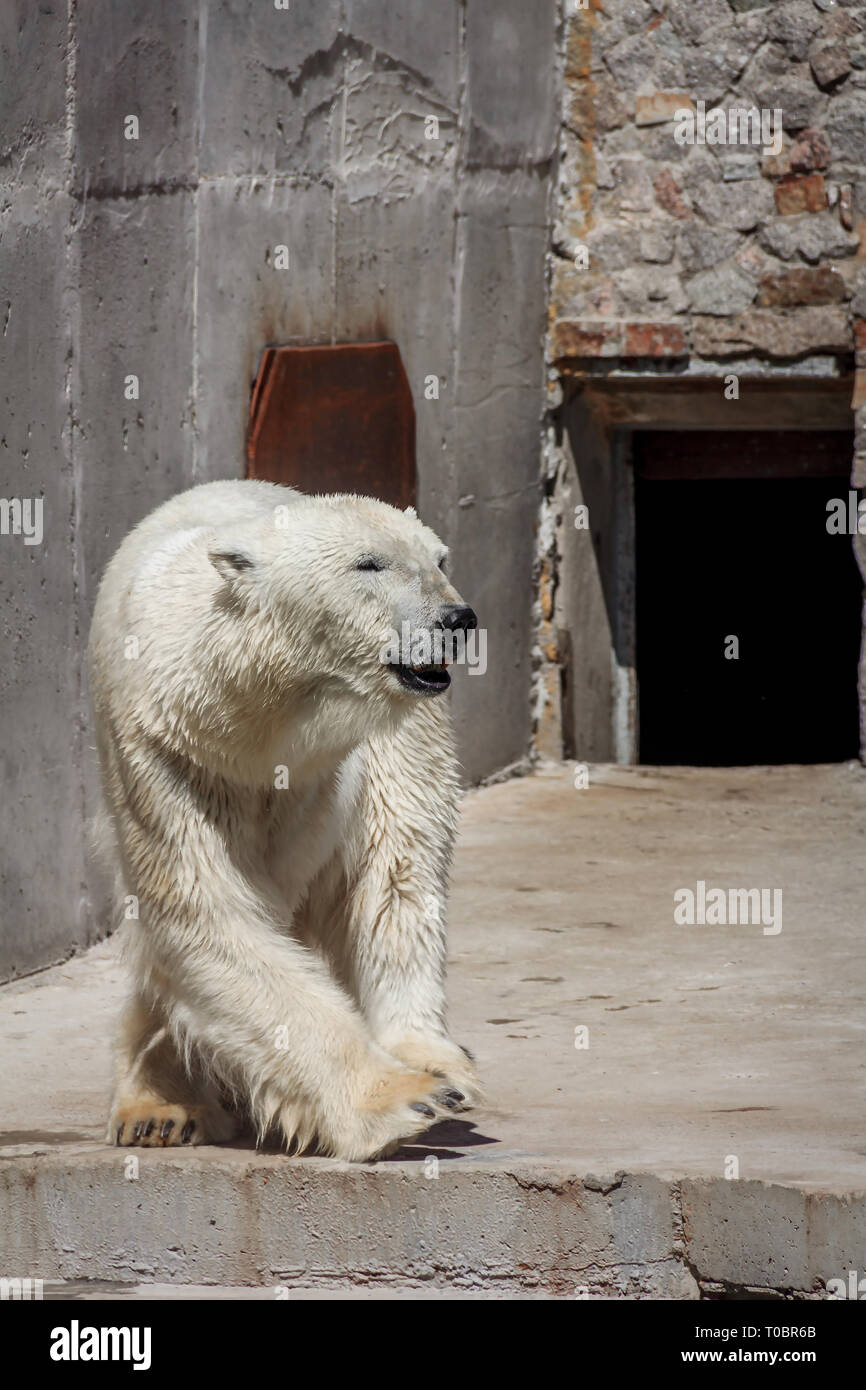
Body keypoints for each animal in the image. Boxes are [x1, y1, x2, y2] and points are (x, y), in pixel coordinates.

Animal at [88, 479, 481, 1161]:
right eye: (368, 564)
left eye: (440, 558)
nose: (455, 620)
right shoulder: (166, 751)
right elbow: (205, 911)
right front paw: (399, 1099)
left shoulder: (369, 737)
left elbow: (386, 873)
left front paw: (420, 1088)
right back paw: (158, 1107)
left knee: (402, 874)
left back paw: (435, 1061)